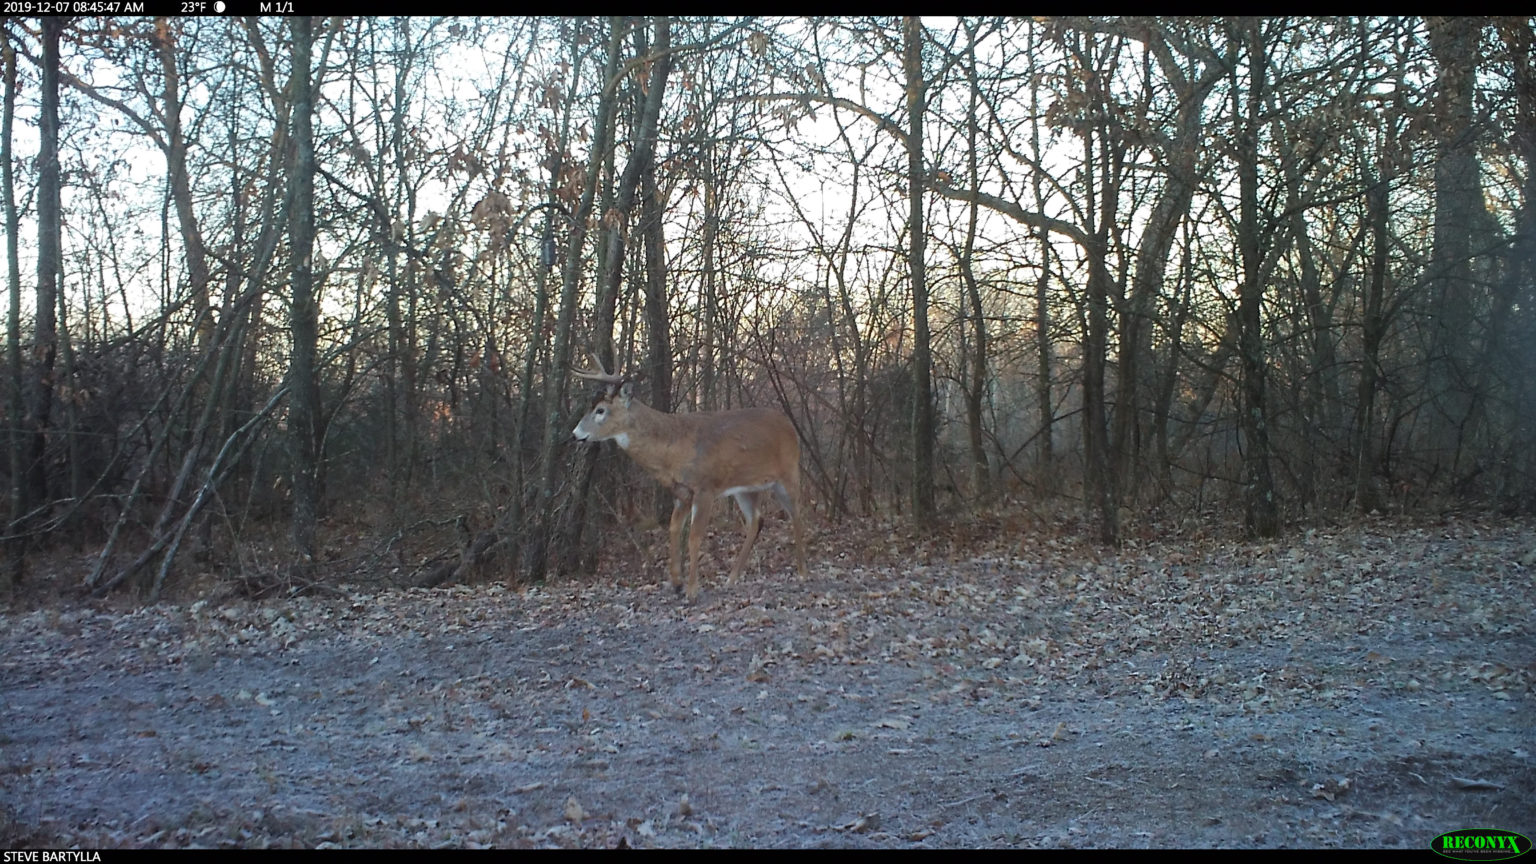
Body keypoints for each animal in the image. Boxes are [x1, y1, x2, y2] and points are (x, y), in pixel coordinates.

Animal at [570, 354, 807, 602]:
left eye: (600, 410)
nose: (575, 434)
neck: (673, 448)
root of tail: (790, 425)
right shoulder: (682, 492)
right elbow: (674, 529)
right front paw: (676, 583)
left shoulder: (705, 488)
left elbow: (694, 536)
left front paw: (692, 589)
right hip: (746, 487)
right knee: (756, 520)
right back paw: (731, 578)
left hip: (789, 472)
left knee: (796, 514)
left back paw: (802, 572)